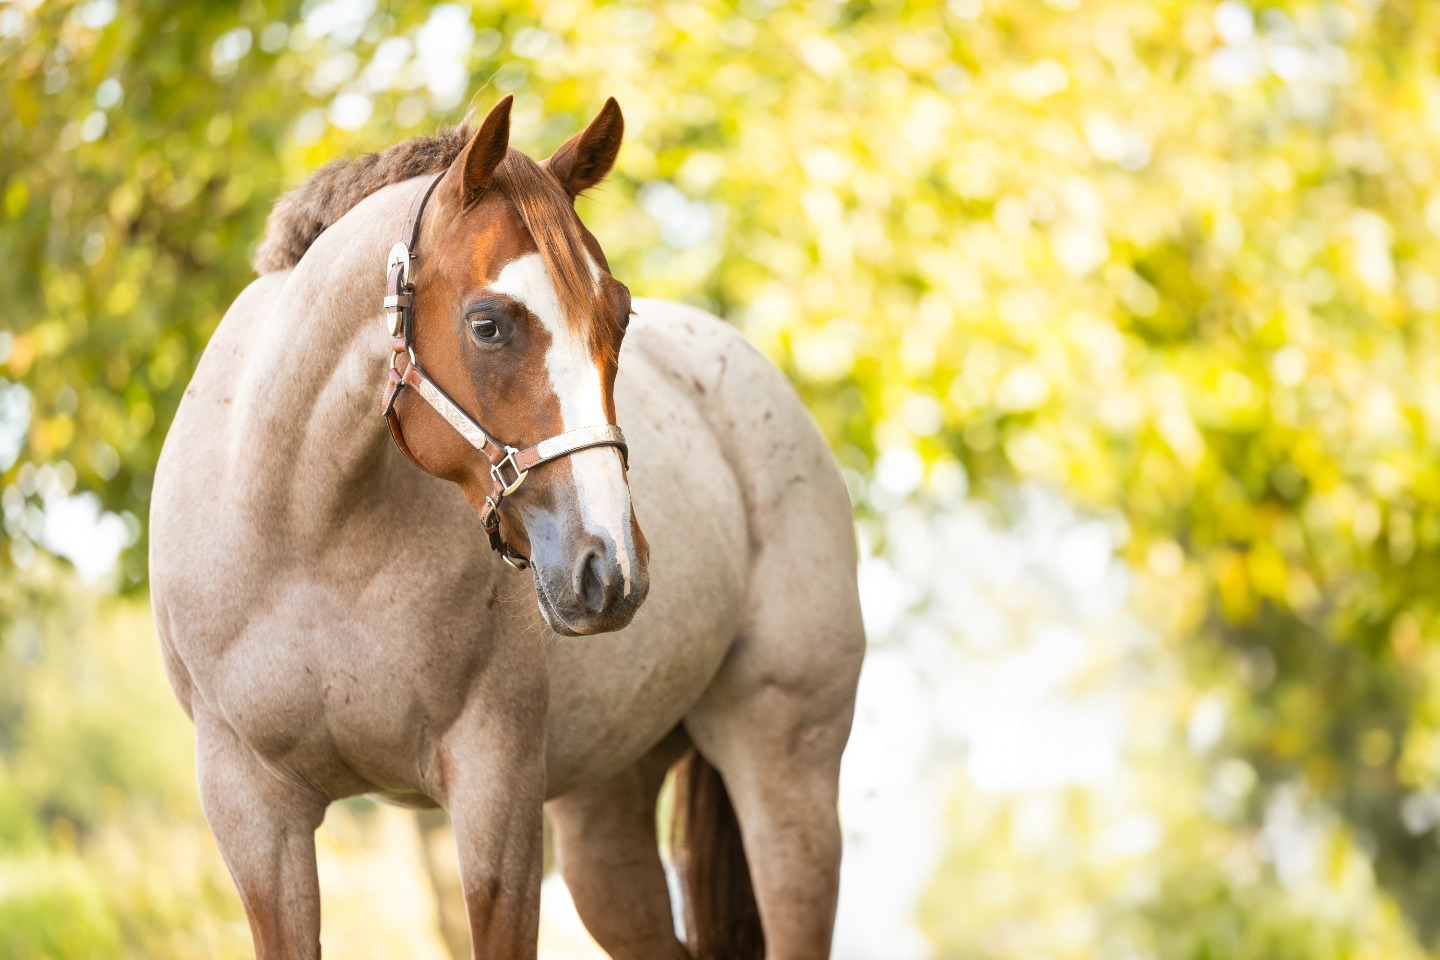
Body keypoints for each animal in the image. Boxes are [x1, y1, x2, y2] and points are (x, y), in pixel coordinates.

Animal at [149, 94, 864, 960]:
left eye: (620, 316)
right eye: (489, 324)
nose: (609, 569)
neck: (305, 540)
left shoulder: (497, 795)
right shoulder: (253, 815)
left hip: (786, 778)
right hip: (606, 820)